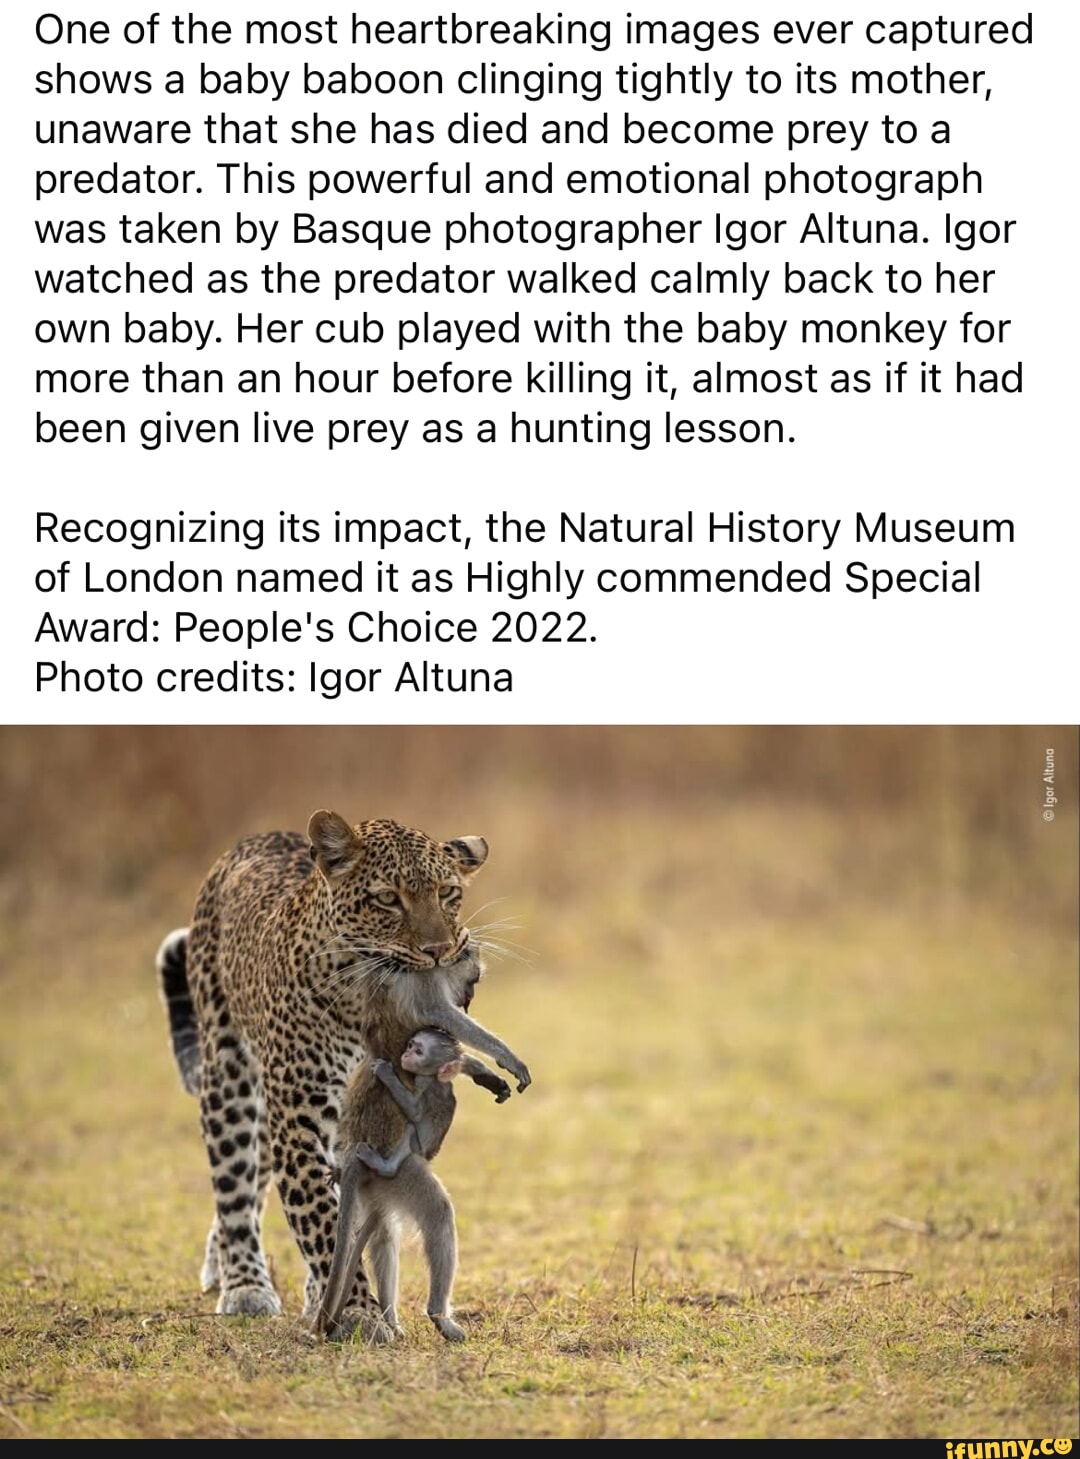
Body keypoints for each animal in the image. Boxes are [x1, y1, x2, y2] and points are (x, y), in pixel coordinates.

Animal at [318, 1027, 510, 1343]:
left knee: (431, 1213)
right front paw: (486, 1074)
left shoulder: (426, 1087)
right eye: (410, 1045)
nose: (406, 1054)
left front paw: (387, 1073)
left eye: (419, 1050)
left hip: (404, 1172)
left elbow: (416, 1110)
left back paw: (435, 1314)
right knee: (387, 1235)